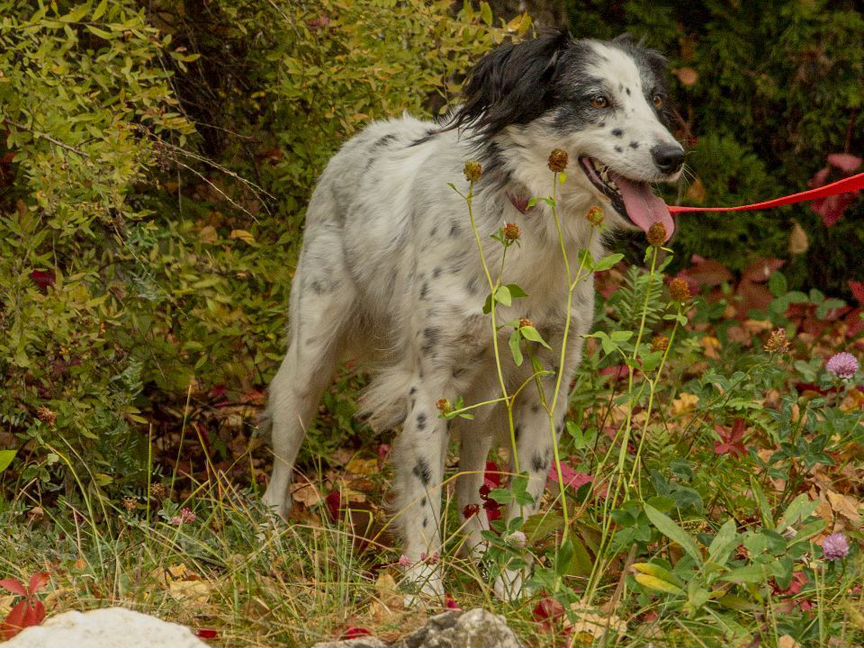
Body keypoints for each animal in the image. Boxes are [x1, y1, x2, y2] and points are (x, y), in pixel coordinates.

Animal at [260, 29, 684, 596]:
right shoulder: (431, 384)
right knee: (284, 455)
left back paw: (479, 546)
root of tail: (372, 132)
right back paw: (268, 534)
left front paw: (511, 580)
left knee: (473, 481)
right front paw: (424, 584)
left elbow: (524, 491)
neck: (528, 228)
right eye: (597, 100)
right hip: (310, 359)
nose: (673, 156)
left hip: (485, 394)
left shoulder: (546, 385)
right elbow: (423, 492)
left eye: (656, 100)